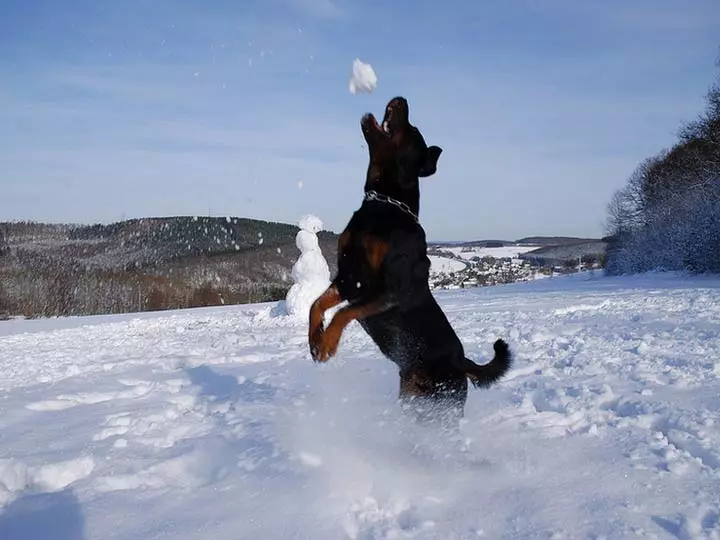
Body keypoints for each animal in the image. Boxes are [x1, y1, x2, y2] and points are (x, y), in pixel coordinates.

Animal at [306, 97, 510, 426]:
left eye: (412, 129)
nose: (401, 99)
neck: (384, 206)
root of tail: (462, 361)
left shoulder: (388, 290)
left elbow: (343, 313)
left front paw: (327, 346)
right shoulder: (348, 278)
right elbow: (317, 305)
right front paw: (314, 342)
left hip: (445, 404)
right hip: (411, 397)